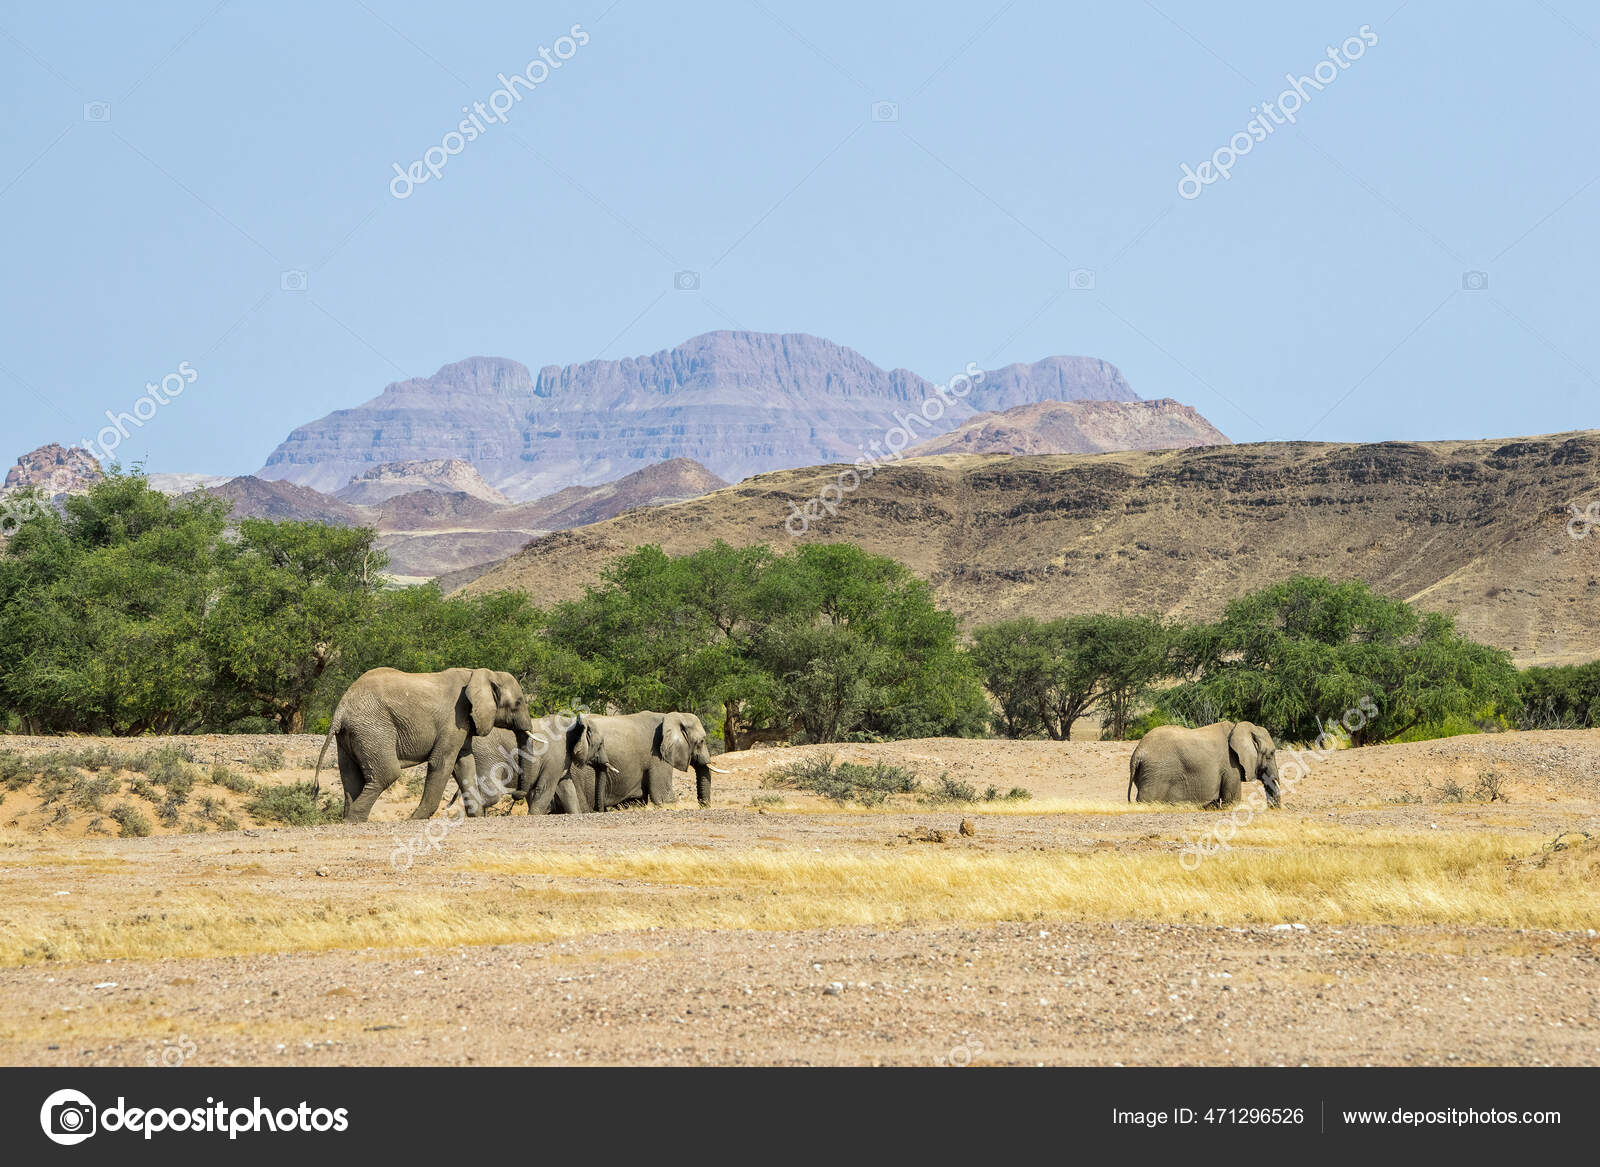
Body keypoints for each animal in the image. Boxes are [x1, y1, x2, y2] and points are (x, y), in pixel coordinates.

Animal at [314, 667, 534, 822]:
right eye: (518, 703)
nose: (517, 794)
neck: (478, 674)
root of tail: (341, 709)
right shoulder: (453, 719)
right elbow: (442, 763)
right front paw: (415, 819)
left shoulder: (464, 723)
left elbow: (464, 763)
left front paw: (477, 816)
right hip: (373, 729)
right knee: (387, 774)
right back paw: (353, 821)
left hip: (351, 736)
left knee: (351, 777)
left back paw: (349, 819)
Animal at [453, 713, 614, 816]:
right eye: (601, 744)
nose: (598, 810)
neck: (571, 721)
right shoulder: (555, 757)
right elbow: (545, 788)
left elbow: (567, 789)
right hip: (487, 756)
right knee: (491, 794)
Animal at [1127, 721, 1281, 808]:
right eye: (1272, 753)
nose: (1273, 808)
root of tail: (1138, 752)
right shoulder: (1230, 764)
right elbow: (1231, 800)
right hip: (1156, 772)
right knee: (1146, 799)